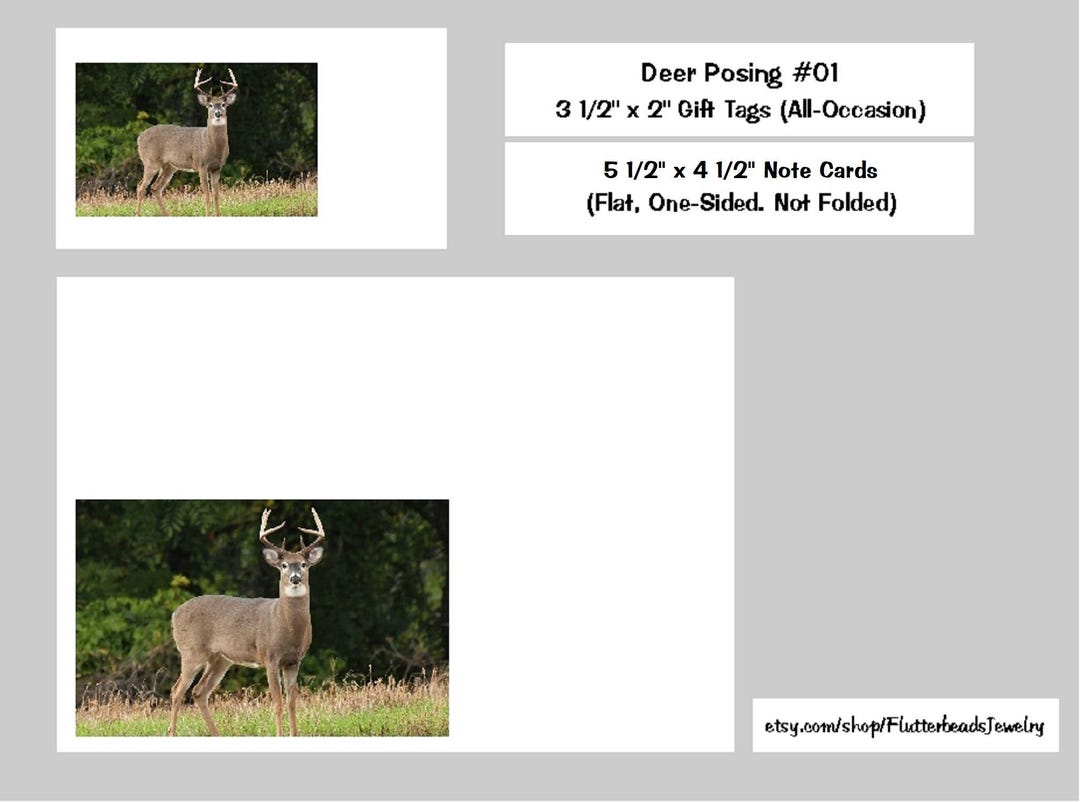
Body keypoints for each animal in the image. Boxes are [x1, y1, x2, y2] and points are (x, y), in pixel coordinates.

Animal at [135, 67, 238, 217]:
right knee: (140, 187)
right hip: (150, 161)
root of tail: (139, 138)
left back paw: (167, 215)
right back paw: (137, 214)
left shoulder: (217, 167)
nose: (218, 113)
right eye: (210, 105)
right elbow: (206, 194)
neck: (212, 145)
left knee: (155, 187)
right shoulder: (201, 164)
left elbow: (216, 195)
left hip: (169, 166)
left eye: (224, 104)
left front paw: (218, 215)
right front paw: (207, 215)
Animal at [167, 507, 326, 736]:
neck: (286, 625)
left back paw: (216, 734)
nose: (295, 578)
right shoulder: (270, 656)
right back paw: (172, 732)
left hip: (220, 658)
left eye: (304, 564)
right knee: (177, 690)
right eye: (284, 565)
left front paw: (294, 735)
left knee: (199, 691)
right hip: (191, 651)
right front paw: (279, 734)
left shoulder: (294, 661)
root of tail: (174, 614)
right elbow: (277, 703)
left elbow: (292, 702)